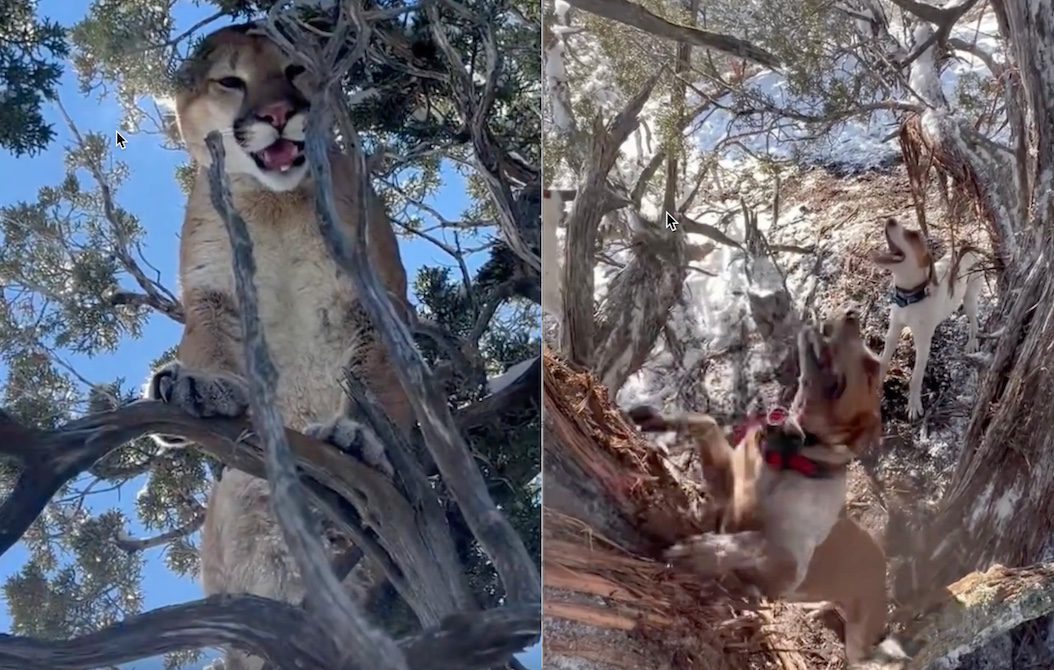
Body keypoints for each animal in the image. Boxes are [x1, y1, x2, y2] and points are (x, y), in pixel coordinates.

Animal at [145, 21, 413, 670]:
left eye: (294, 70)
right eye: (231, 81)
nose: (277, 114)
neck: (275, 204)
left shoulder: (375, 298)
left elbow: (374, 379)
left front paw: (354, 436)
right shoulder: (215, 292)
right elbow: (209, 345)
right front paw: (199, 385)